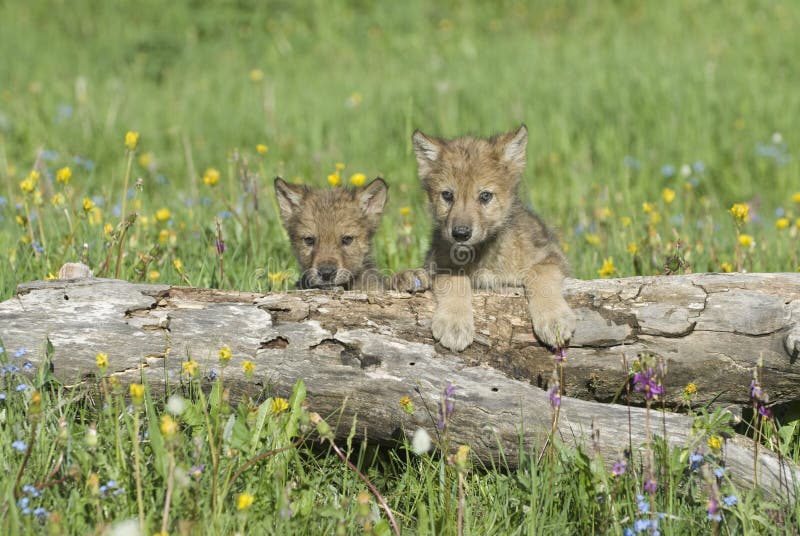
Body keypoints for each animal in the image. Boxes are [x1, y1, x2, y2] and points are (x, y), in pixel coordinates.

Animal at [412, 125, 576, 351]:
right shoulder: (436, 264)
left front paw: (554, 320)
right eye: (447, 195)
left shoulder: (551, 255)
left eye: (485, 196)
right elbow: (455, 279)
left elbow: (539, 273)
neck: (483, 254)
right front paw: (453, 324)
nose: (460, 233)